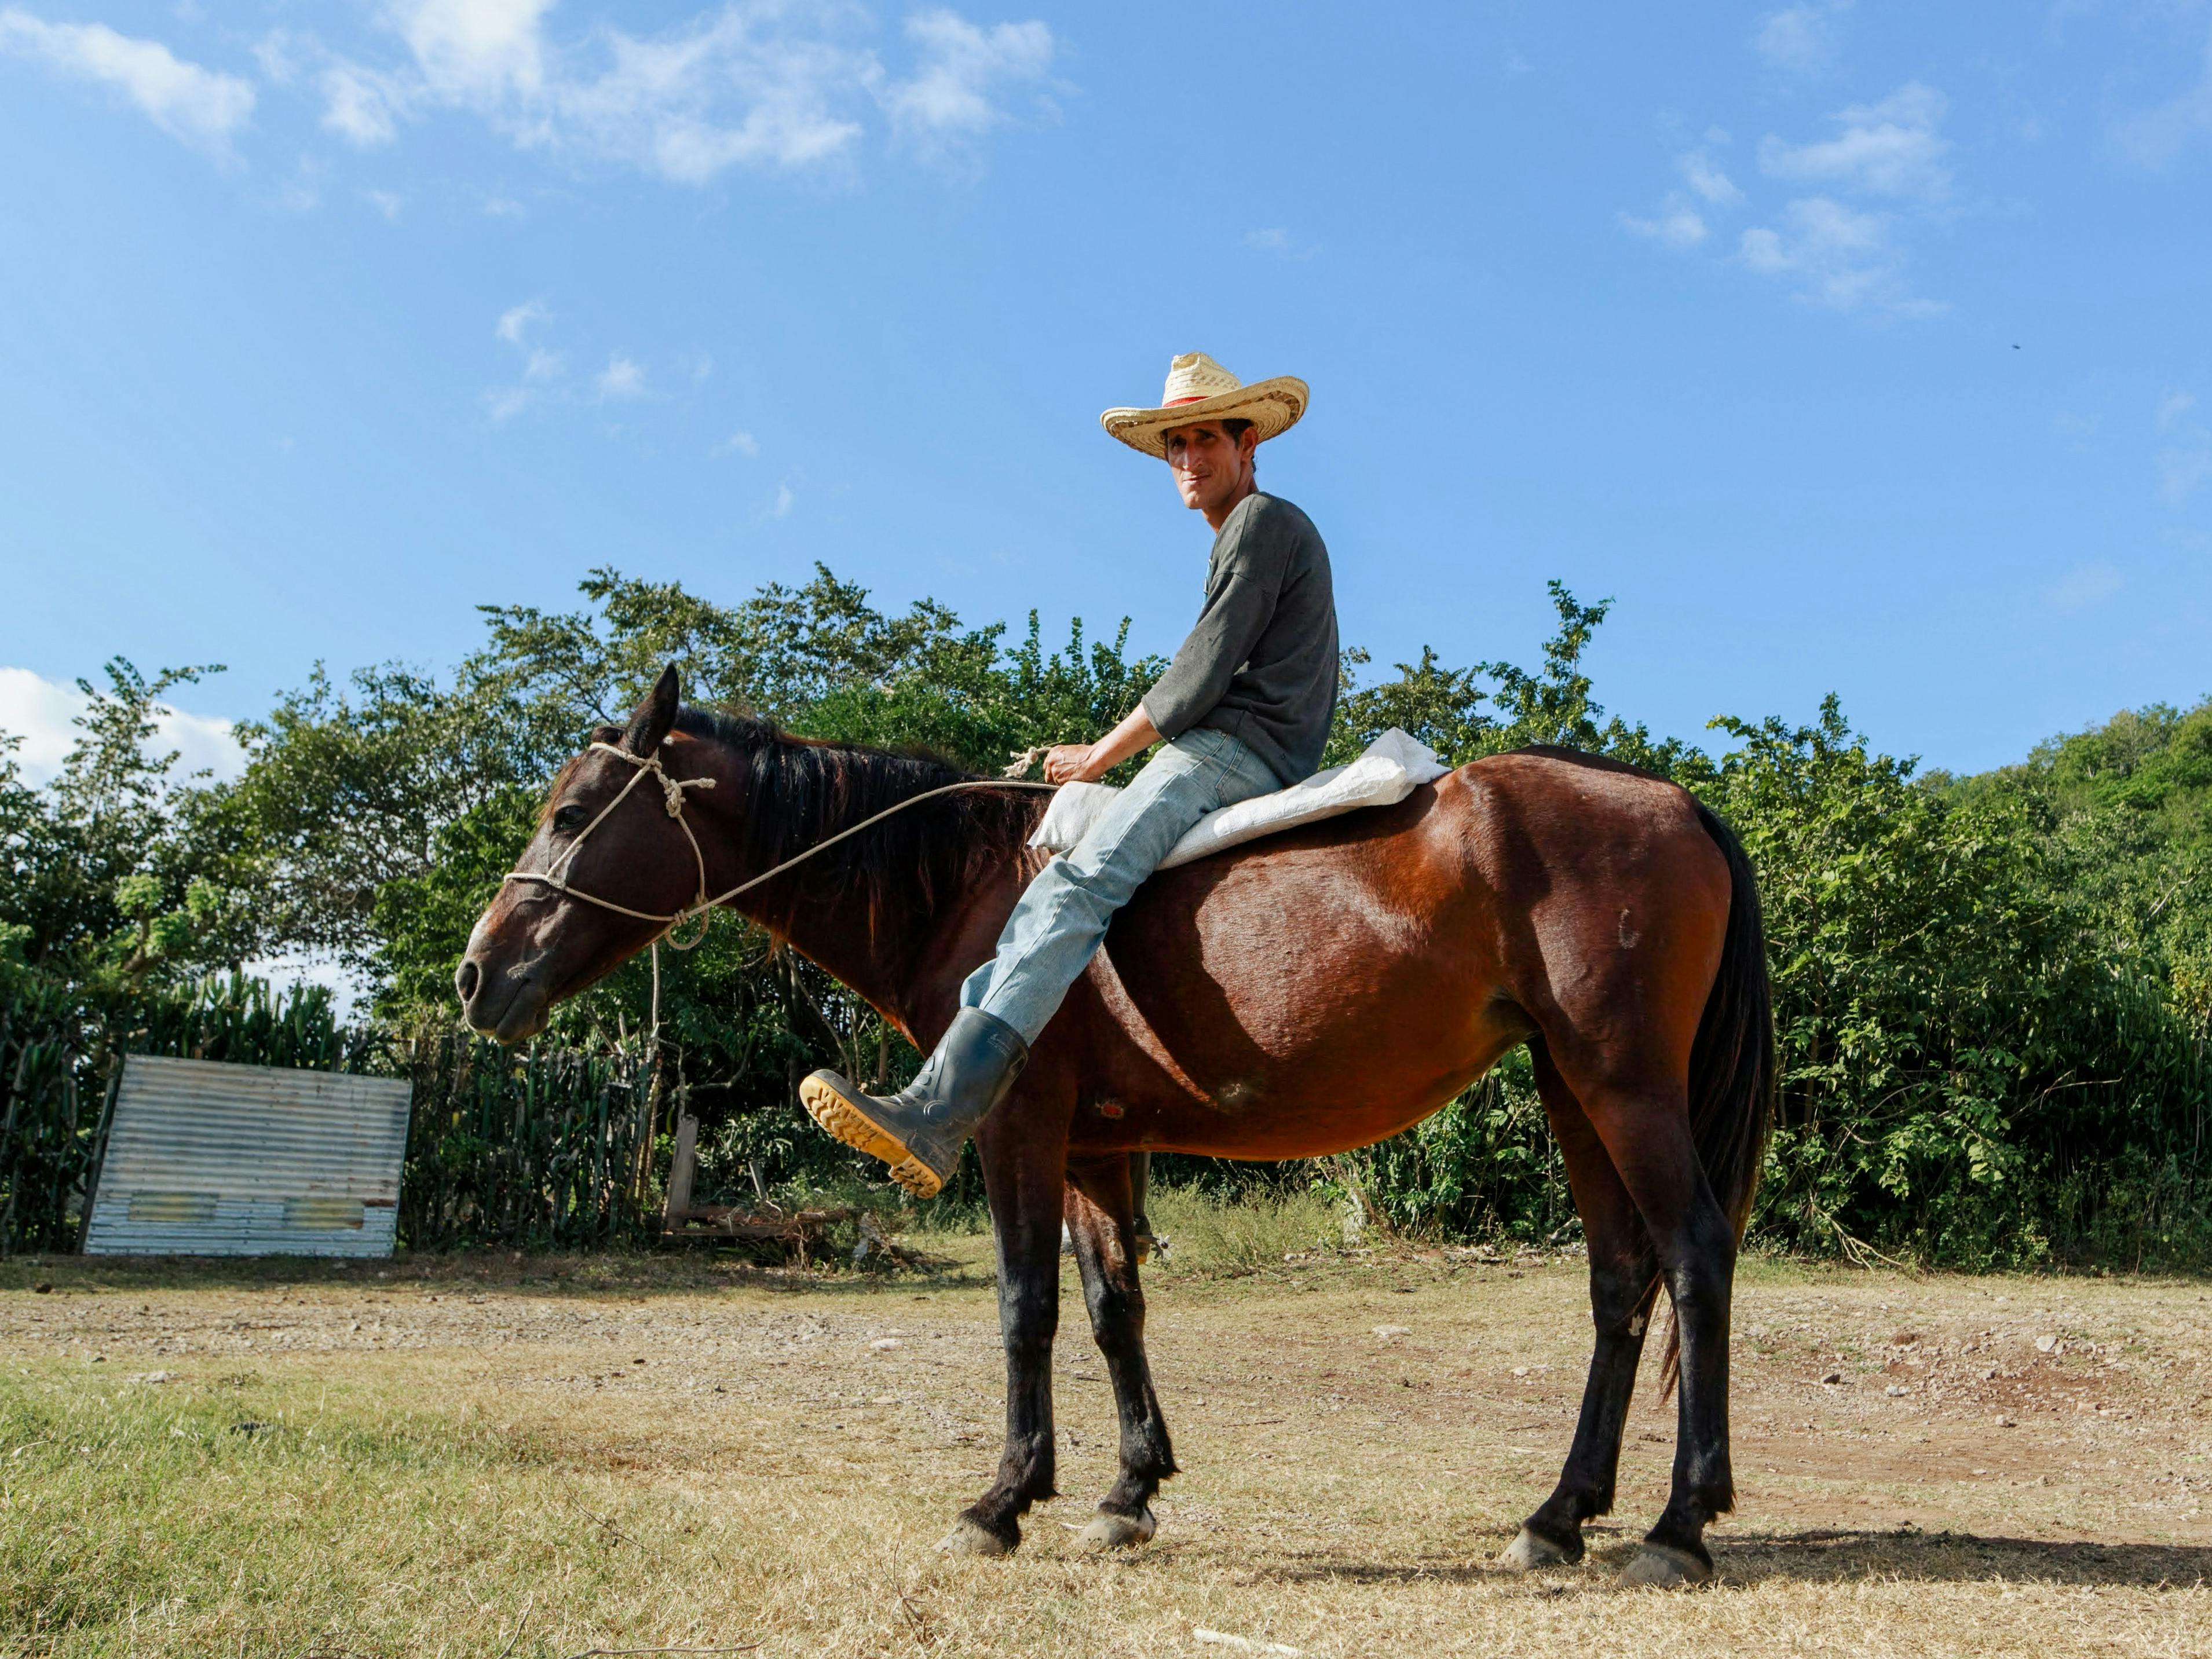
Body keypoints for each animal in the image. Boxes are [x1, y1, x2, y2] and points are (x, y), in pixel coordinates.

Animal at [456, 666, 1774, 1588]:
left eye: (573, 810)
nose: (478, 975)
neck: (966, 883)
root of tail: (1672, 800)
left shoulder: (1017, 1129)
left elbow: (1024, 1308)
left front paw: (999, 1501)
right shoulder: (1093, 1147)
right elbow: (1110, 1308)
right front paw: (1126, 1492)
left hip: (1621, 1085)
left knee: (1694, 1256)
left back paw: (1676, 1524)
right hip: (1571, 1090)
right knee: (1618, 1281)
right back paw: (1558, 1516)